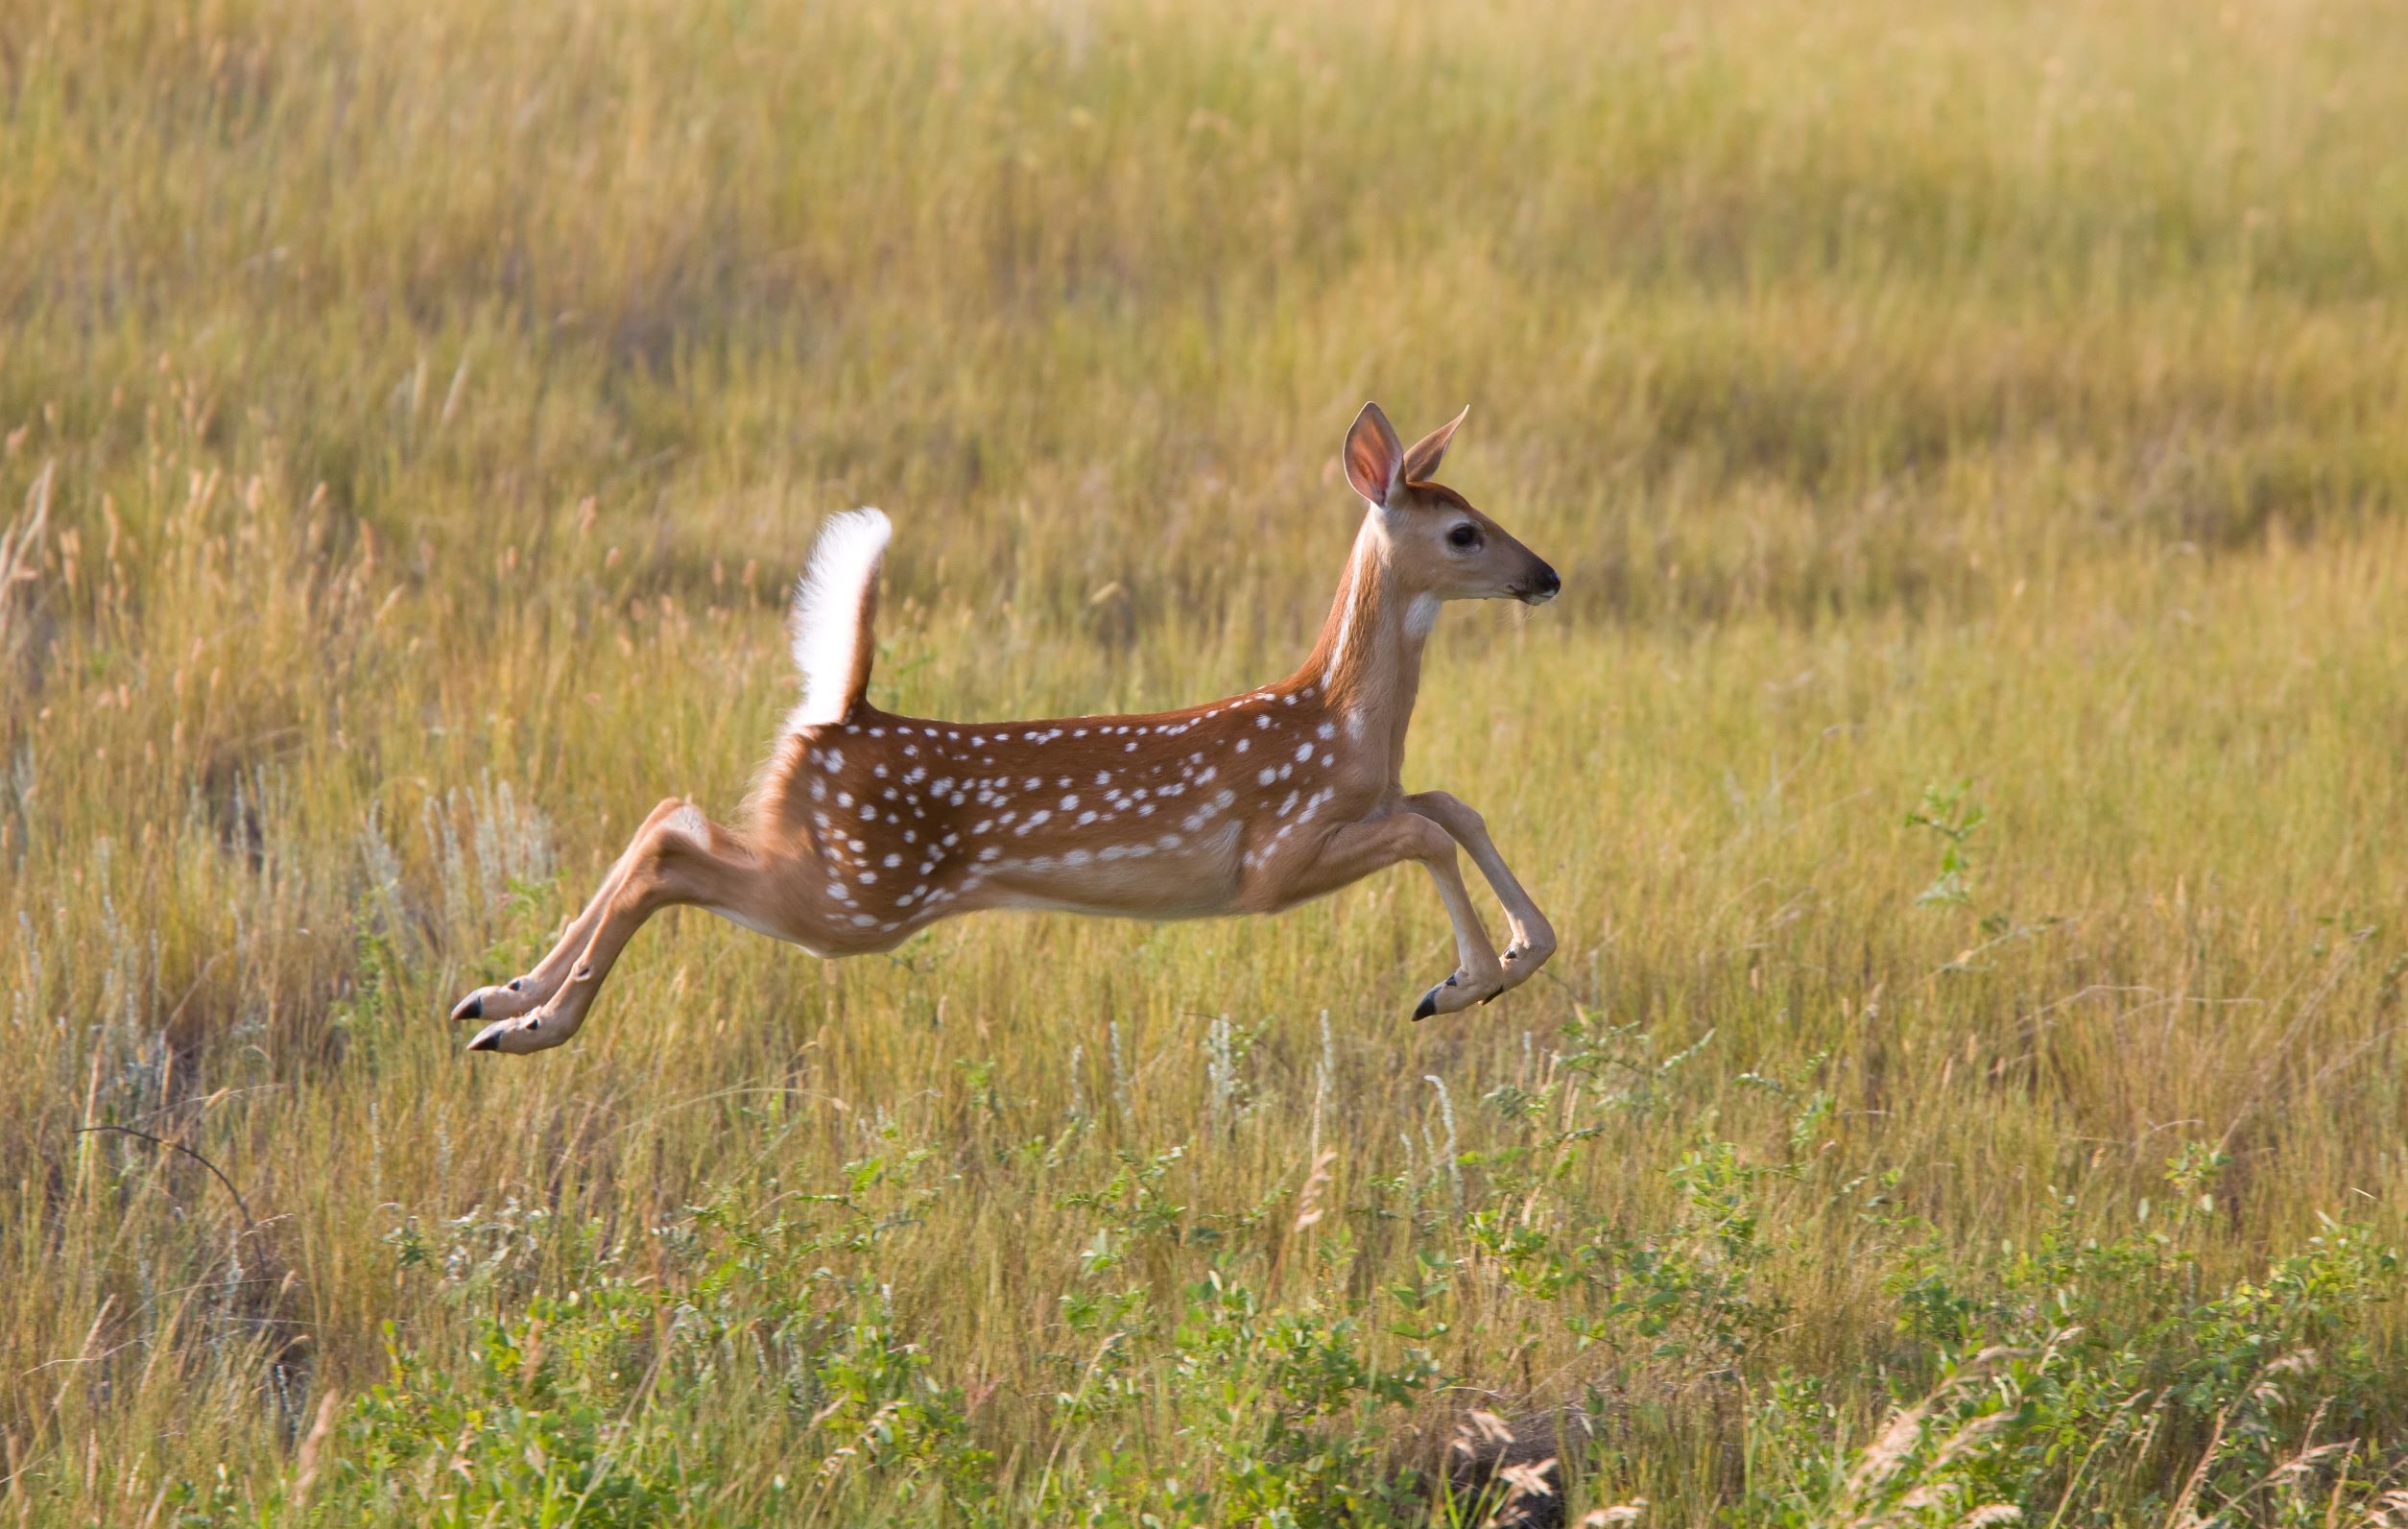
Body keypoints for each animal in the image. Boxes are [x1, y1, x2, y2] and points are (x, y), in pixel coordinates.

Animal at [452, 403, 1562, 1053]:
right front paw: (1459, 984)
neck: (1342, 723)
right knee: (669, 853)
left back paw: (498, 996)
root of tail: (839, 714)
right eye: (1463, 531)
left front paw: (1516, 955)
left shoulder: (1372, 801)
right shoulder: (1273, 859)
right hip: (856, 895)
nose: (1544, 574)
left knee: (666, 814)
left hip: (829, 870)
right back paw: (534, 1023)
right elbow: (1424, 829)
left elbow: (1451, 805)